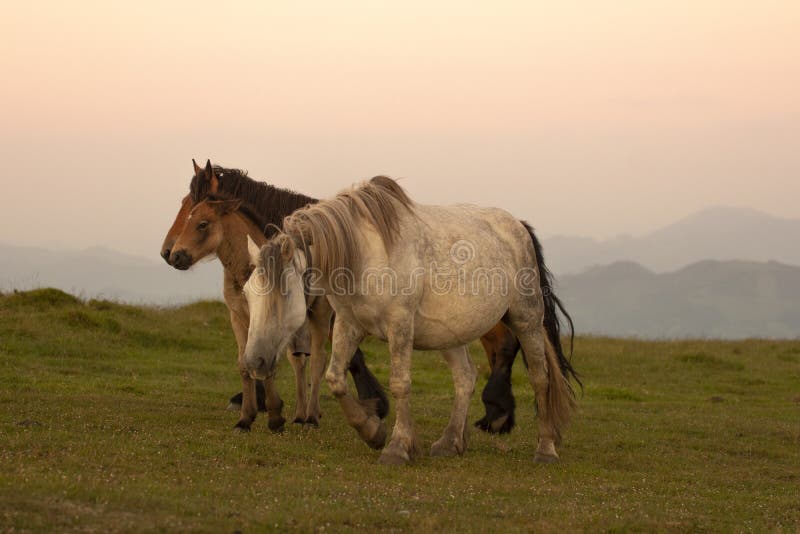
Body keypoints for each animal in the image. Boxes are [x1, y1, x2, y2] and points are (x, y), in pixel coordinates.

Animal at [161, 160, 388, 430]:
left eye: (202, 222)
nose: (171, 253)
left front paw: (274, 414)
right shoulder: (238, 317)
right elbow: (246, 363)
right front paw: (247, 417)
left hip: (321, 313)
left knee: (317, 360)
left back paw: (311, 417)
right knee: (300, 360)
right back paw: (302, 414)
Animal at [241, 176, 579, 464]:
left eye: (284, 291)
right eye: (246, 292)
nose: (254, 362)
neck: (364, 253)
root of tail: (518, 226)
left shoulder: (399, 325)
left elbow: (400, 383)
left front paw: (397, 447)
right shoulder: (348, 324)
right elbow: (335, 378)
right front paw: (372, 431)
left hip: (526, 320)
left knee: (540, 378)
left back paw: (546, 449)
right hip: (450, 334)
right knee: (465, 377)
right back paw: (450, 442)